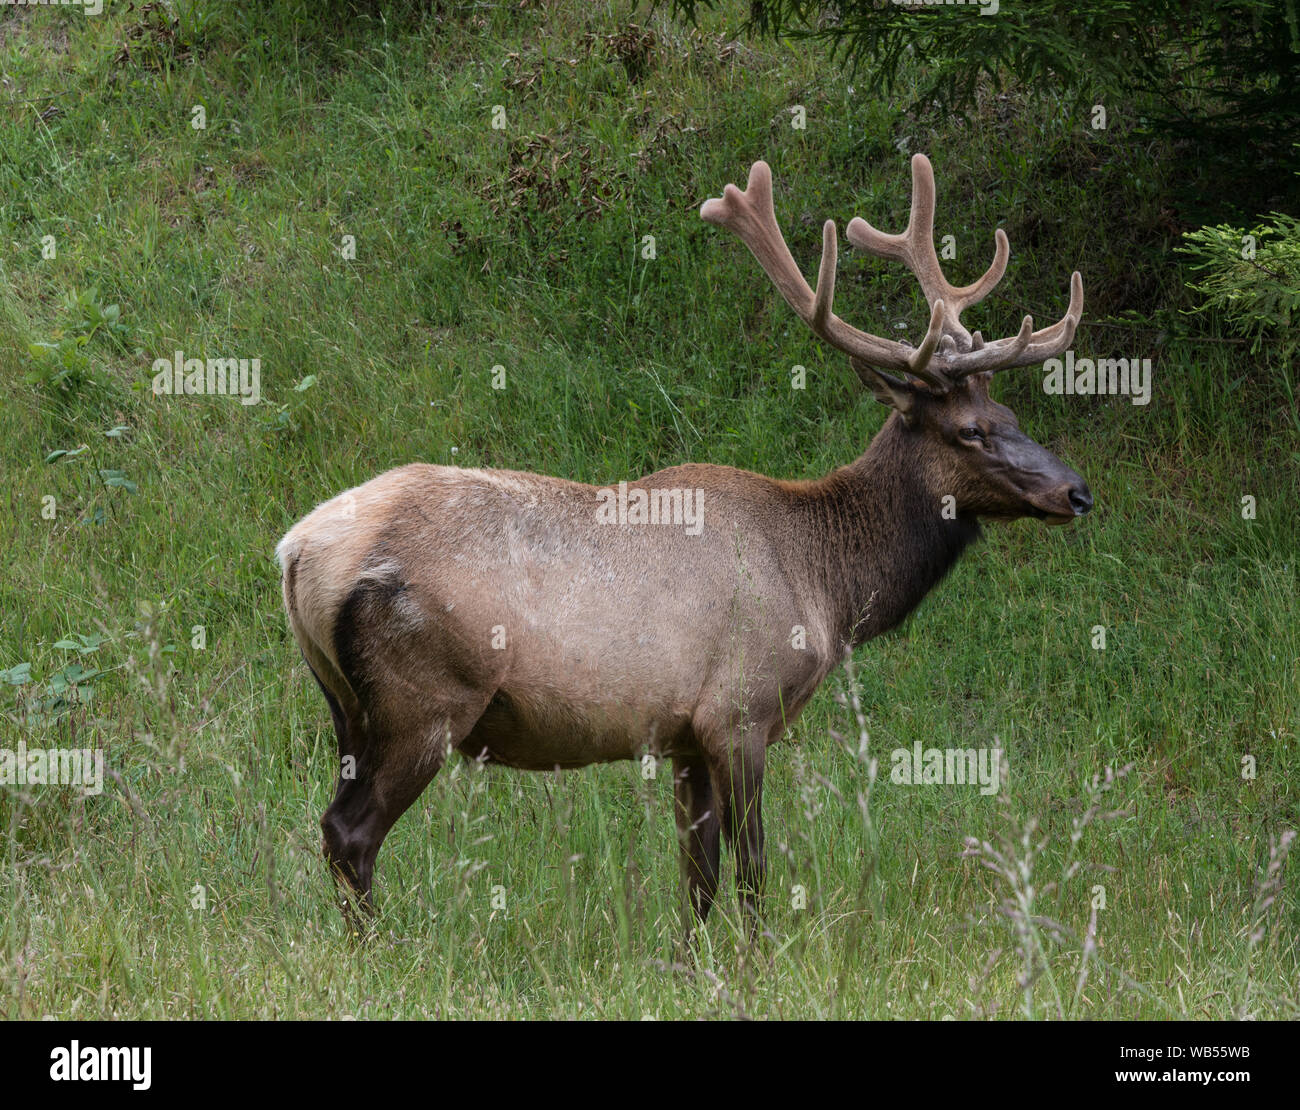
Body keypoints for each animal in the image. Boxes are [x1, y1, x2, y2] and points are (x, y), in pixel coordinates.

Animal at [277, 154, 1091, 939]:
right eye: (969, 431)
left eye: (1012, 416)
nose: (1077, 493)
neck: (825, 586)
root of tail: (296, 551)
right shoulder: (740, 709)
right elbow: (753, 866)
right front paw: (765, 960)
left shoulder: (682, 737)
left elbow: (696, 875)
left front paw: (694, 963)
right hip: (426, 694)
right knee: (349, 832)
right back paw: (381, 953)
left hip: (345, 705)